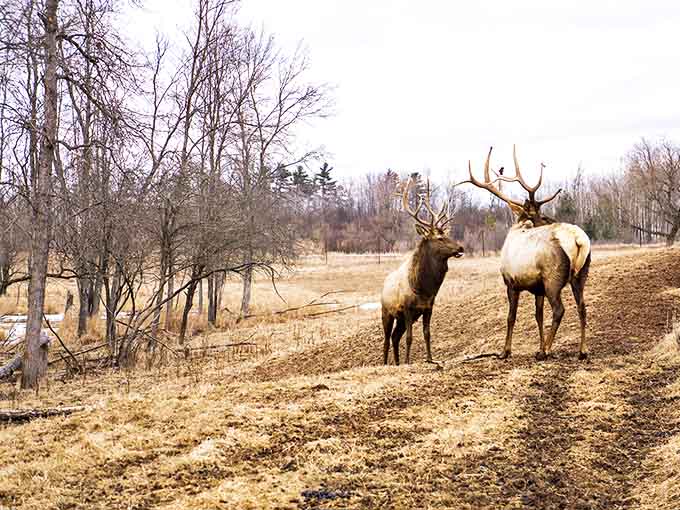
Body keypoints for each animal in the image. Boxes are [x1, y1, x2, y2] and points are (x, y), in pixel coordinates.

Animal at [381, 178, 465, 365]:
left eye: (447, 234)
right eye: (439, 238)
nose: (460, 247)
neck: (422, 288)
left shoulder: (428, 308)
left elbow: (427, 333)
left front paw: (430, 358)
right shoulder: (406, 308)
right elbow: (410, 338)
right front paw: (407, 362)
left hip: (402, 319)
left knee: (395, 337)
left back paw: (396, 363)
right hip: (387, 313)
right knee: (387, 339)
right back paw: (386, 363)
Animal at [458, 146, 591, 360]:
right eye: (542, 215)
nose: (551, 219)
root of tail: (578, 239)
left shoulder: (511, 282)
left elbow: (511, 317)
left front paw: (505, 351)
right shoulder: (538, 288)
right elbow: (538, 316)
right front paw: (538, 346)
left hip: (553, 278)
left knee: (559, 310)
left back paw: (547, 351)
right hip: (580, 275)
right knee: (582, 307)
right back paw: (581, 351)